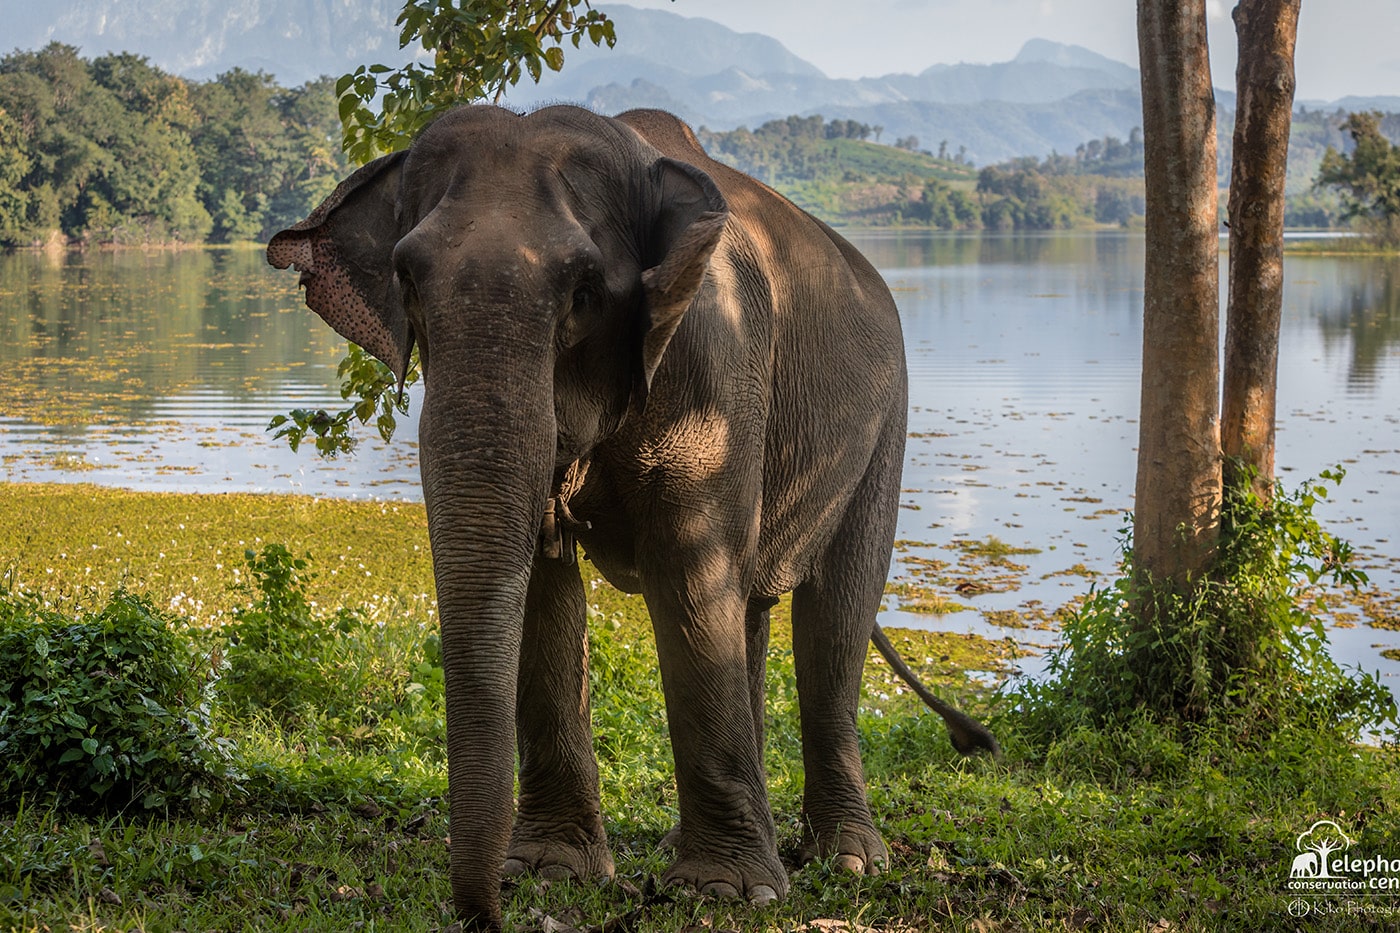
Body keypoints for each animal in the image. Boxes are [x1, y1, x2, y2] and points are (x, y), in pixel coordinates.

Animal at [268, 104, 997, 929]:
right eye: (406, 278)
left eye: (585, 291)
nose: (487, 914)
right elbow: (543, 586)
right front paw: (552, 871)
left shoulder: (716, 369)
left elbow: (688, 569)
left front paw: (721, 890)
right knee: (751, 605)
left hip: (886, 420)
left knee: (835, 610)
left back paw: (846, 858)